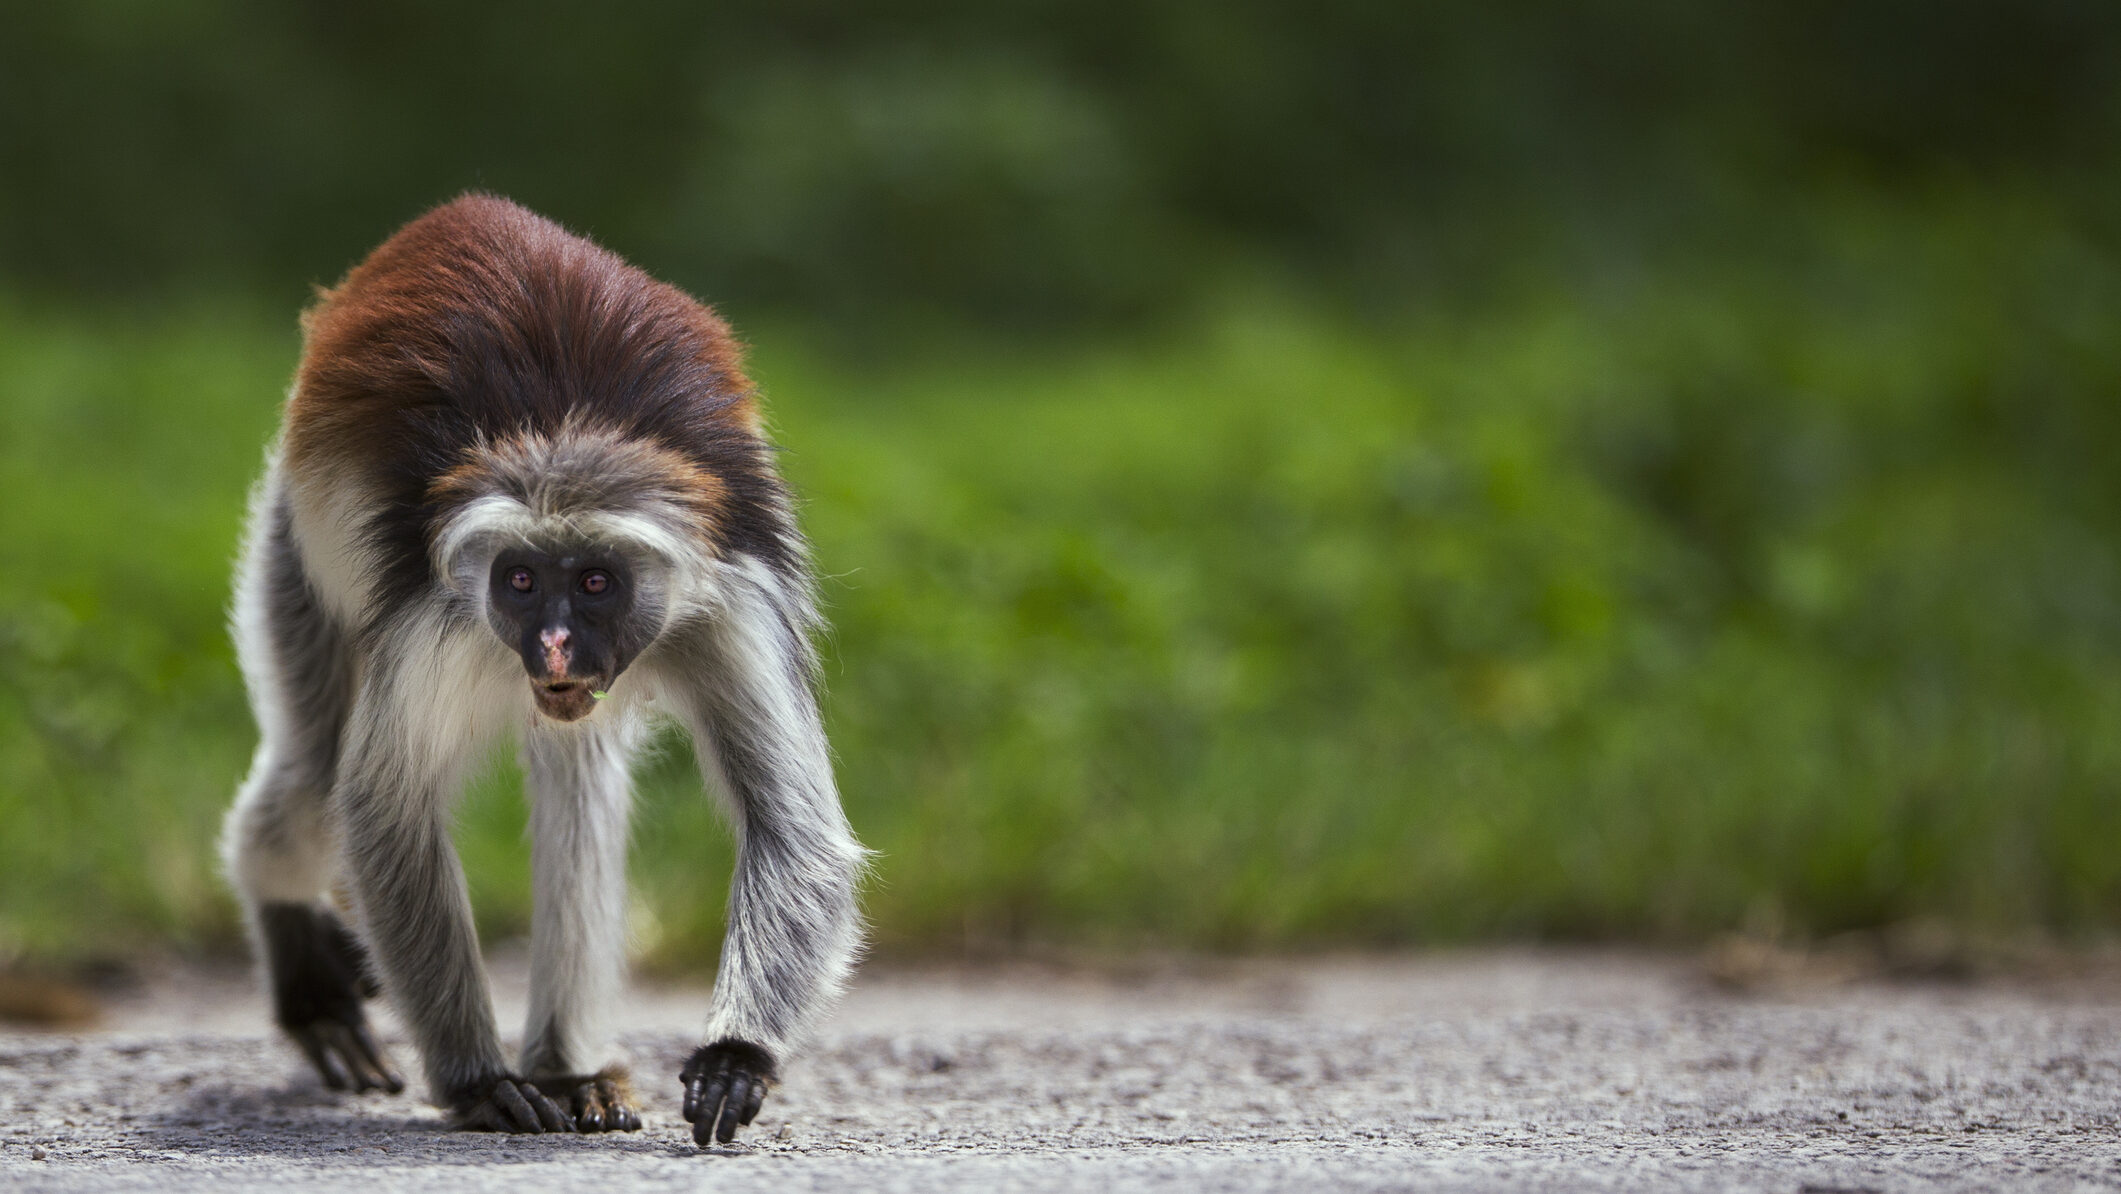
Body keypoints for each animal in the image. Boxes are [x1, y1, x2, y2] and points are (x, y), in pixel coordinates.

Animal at [218, 193, 866, 1146]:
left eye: (594, 583)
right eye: (522, 582)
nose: (555, 646)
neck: (569, 430)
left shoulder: (727, 605)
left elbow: (796, 834)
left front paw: (736, 1056)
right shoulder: (443, 612)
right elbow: (384, 813)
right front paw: (478, 1080)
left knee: (578, 780)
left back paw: (567, 1071)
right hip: (291, 550)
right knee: (310, 778)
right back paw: (302, 951)